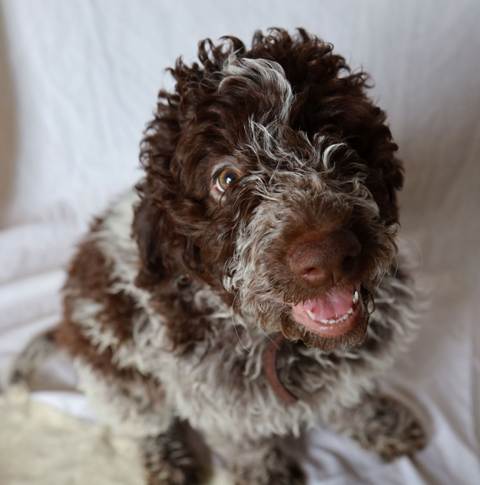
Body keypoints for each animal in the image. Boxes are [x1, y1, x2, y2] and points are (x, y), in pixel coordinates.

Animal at [25, 28, 428, 482]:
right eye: (227, 179)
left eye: (333, 138)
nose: (329, 254)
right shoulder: (209, 391)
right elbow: (243, 440)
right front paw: (265, 473)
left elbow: (353, 394)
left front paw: (380, 424)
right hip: (117, 370)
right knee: (146, 421)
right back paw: (166, 459)